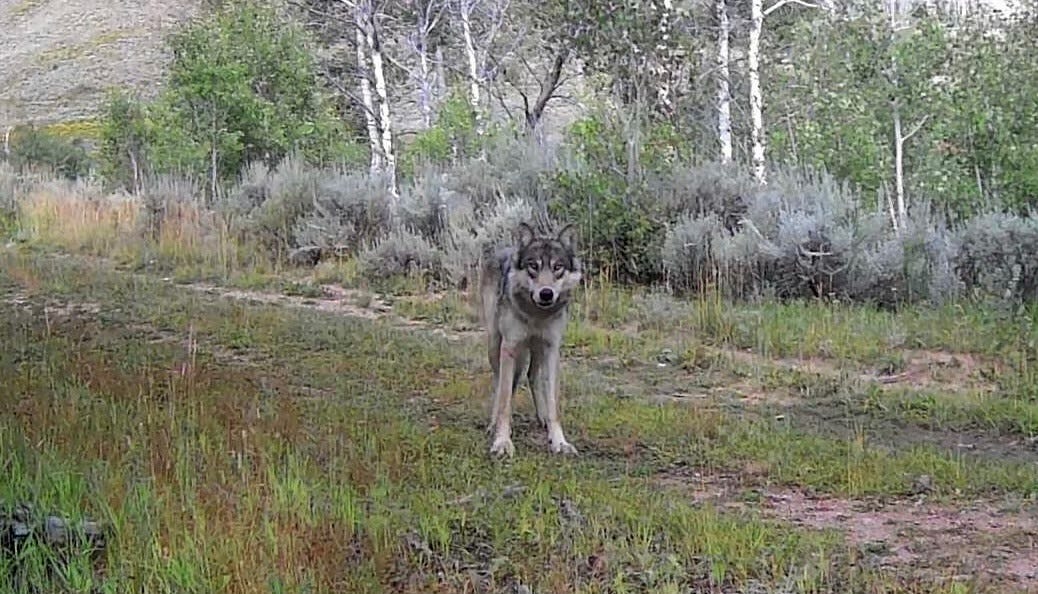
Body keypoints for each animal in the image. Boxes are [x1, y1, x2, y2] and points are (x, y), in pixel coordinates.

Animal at [478, 221, 583, 457]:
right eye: (533, 266)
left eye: (557, 267)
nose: (546, 293)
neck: (537, 315)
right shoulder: (509, 347)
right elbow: (505, 400)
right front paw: (502, 441)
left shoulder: (552, 349)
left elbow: (554, 404)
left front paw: (559, 441)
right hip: (494, 344)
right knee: (500, 382)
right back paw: (492, 424)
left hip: (537, 350)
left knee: (532, 376)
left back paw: (542, 419)